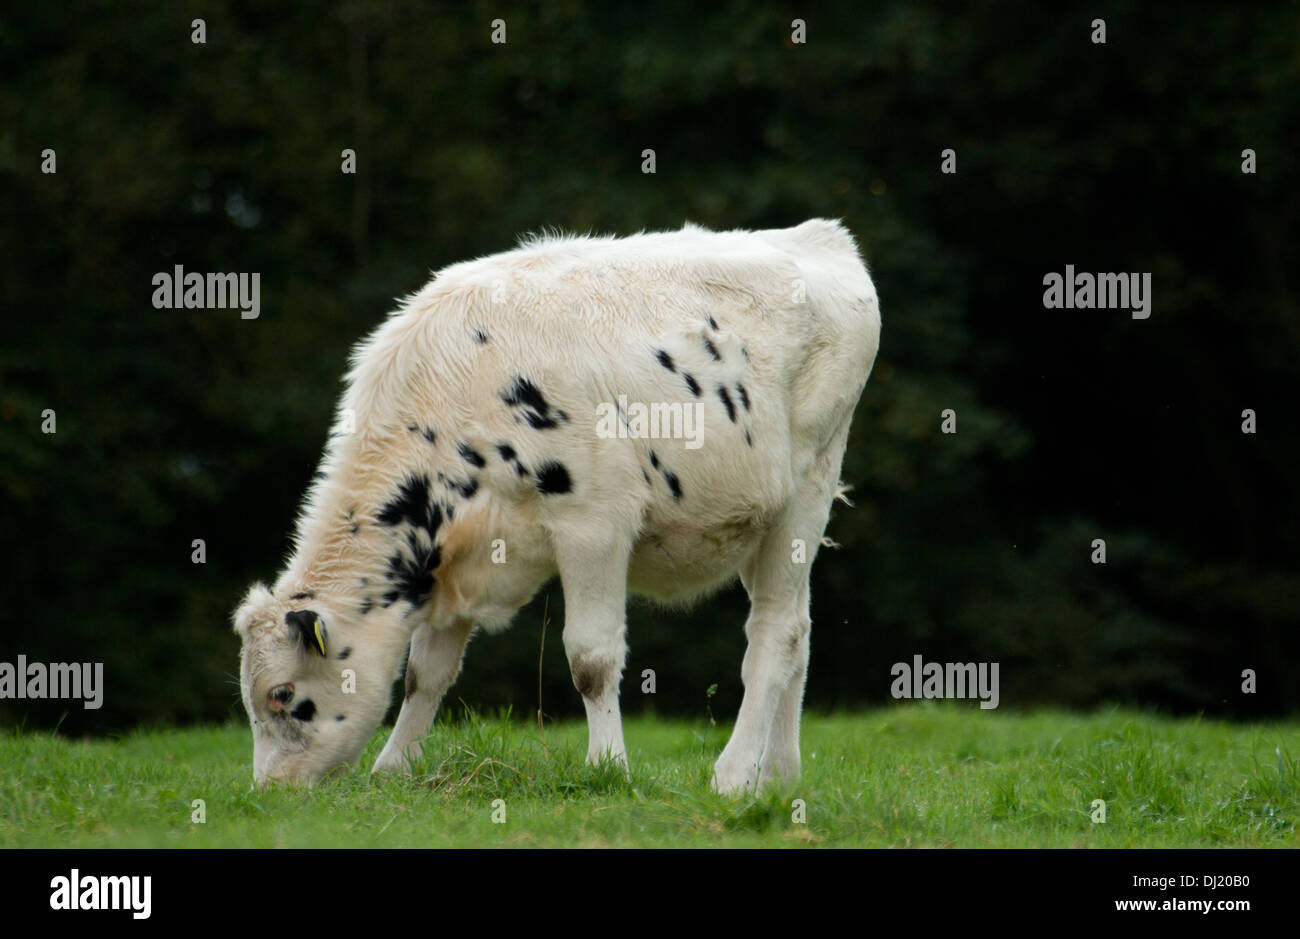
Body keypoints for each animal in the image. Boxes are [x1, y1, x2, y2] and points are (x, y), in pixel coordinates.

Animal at [232, 218, 881, 794]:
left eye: (283, 695)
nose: (271, 790)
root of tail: (815, 234)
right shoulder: (452, 552)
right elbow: (424, 674)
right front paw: (394, 769)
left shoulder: (595, 524)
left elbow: (591, 660)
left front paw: (607, 768)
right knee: (799, 631)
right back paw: (778, 776)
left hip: (808, 487)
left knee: (775, 636)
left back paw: (734, 775)